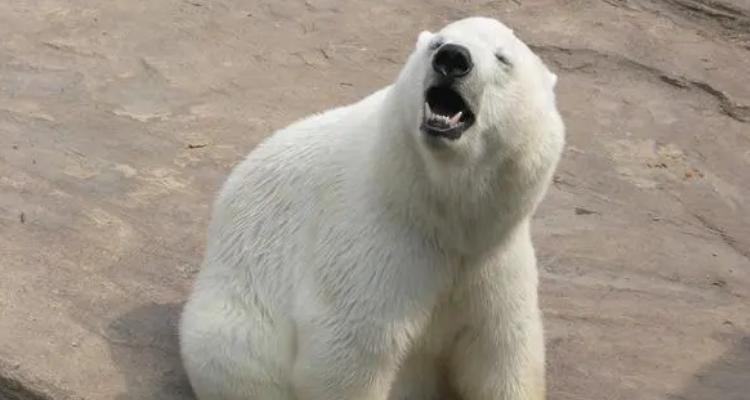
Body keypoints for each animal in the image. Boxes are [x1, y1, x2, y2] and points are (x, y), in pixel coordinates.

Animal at [179, 16, 564, 400]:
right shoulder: (377, 244)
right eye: (437, 43)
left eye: (503, 58)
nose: (453, 58)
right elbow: (349, 352)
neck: (441, 215)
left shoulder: (493, 260)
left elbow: (501, 354)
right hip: (237, 310)